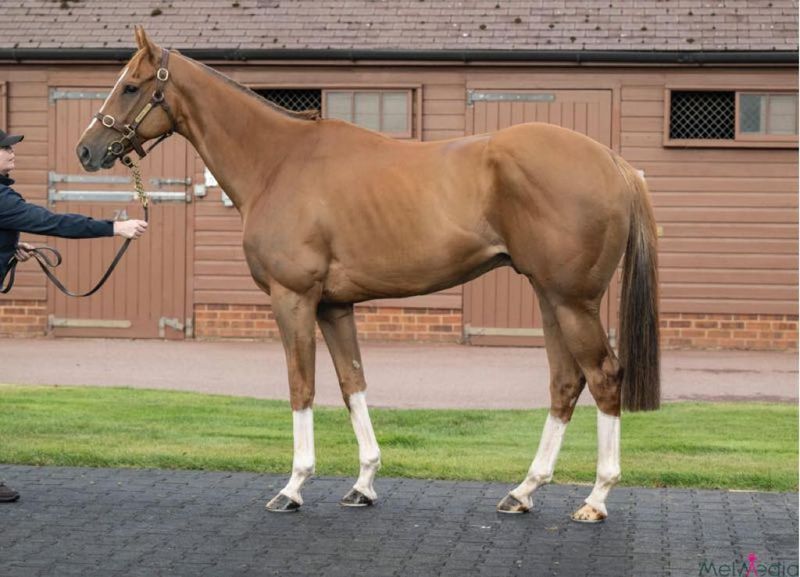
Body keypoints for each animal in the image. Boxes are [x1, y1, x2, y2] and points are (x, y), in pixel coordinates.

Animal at [77, 27, 660, 523]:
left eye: (130, 86)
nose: (86, 150)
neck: (278, 162)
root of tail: (612, 161)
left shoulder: (293, 299)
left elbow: (302, 384)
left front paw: (293, 486)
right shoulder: (335, 306)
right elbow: (351, 382)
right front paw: (363, 484)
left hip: (572, 300)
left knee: (604, 377)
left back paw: (595, 498)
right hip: (548, 296)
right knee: (566, 382)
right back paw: (523, 491)